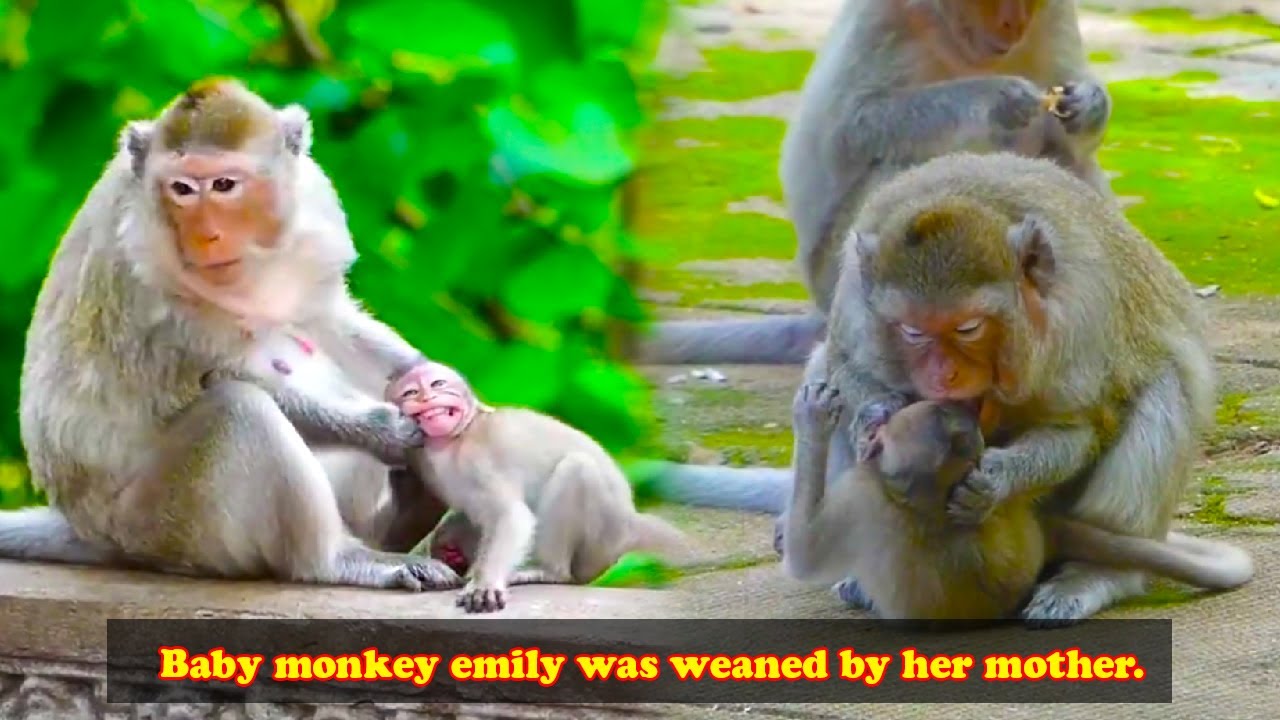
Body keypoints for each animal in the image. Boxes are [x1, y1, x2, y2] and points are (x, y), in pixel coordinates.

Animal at [0, 77, 459, 591]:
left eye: (224, 185)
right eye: (181, 189)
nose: (205, 236)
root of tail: (86, 528)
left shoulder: (314, 206)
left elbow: (325, 317)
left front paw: (444, 388)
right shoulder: (143, 265)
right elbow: (217, 379)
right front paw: (385, 431)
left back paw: (400, 519)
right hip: (165, 522)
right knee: (238, 411)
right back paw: (342, 558)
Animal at [385, 360, 687, 613]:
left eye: (437, 384)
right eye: (411, 392)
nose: (427, 397)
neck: (454, 438)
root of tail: (629, 528)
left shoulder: (477, 455)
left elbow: (510, 516)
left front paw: (485, 582)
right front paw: (441, 552)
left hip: (601, 540)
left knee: (577, 469)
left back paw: (548, 570)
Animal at [631, 0, 1113, 367]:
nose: (1013, 23)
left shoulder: (1054, 14)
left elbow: (1066, 136)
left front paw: (1089, 104)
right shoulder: (885, 16)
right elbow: (851, 127)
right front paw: (995, 98)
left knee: (1061, 164)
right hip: (831, 270)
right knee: (905, 167)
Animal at [783, 387, 1253, 621]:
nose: (885, 411)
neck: (929, 496)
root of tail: (1044, 531)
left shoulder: (863, 496)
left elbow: (804, 554)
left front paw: (814, 419)